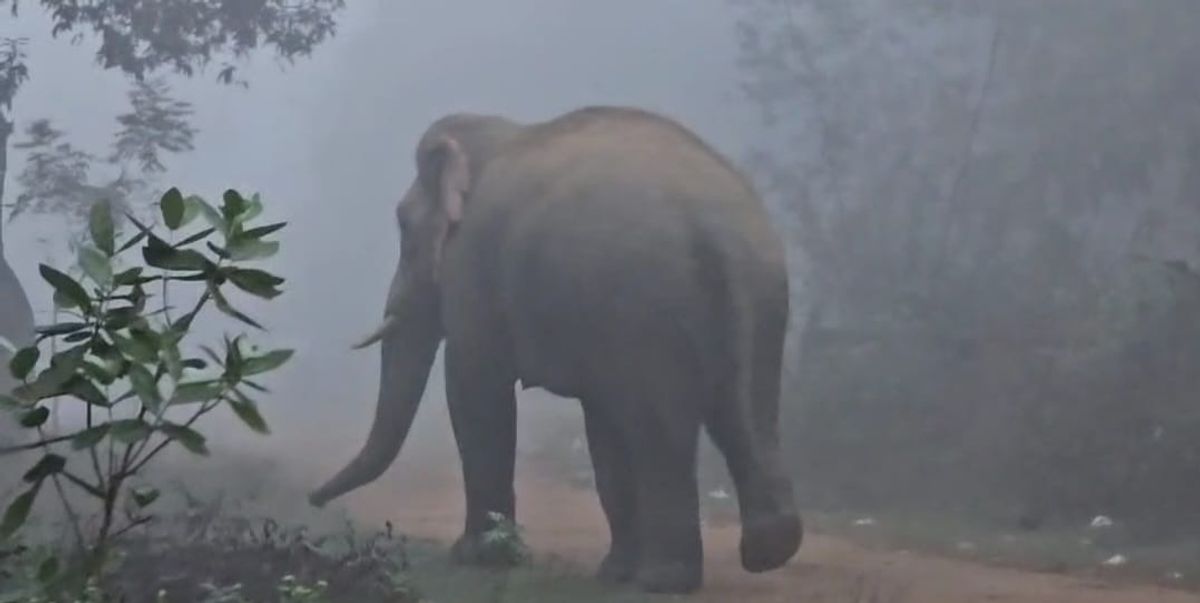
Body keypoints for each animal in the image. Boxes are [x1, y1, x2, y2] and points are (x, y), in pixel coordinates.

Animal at [308, 105, 802, 594]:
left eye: (404, 226)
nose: (313, 499)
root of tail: (718, 229)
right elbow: (601, 427)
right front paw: (610, 573)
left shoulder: (473, 267)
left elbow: (474, 389)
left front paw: (476, 558)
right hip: (758, 300)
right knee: (745, 413)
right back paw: (764, 552)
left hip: (647, 309)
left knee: (660, 431)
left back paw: (663, 581)